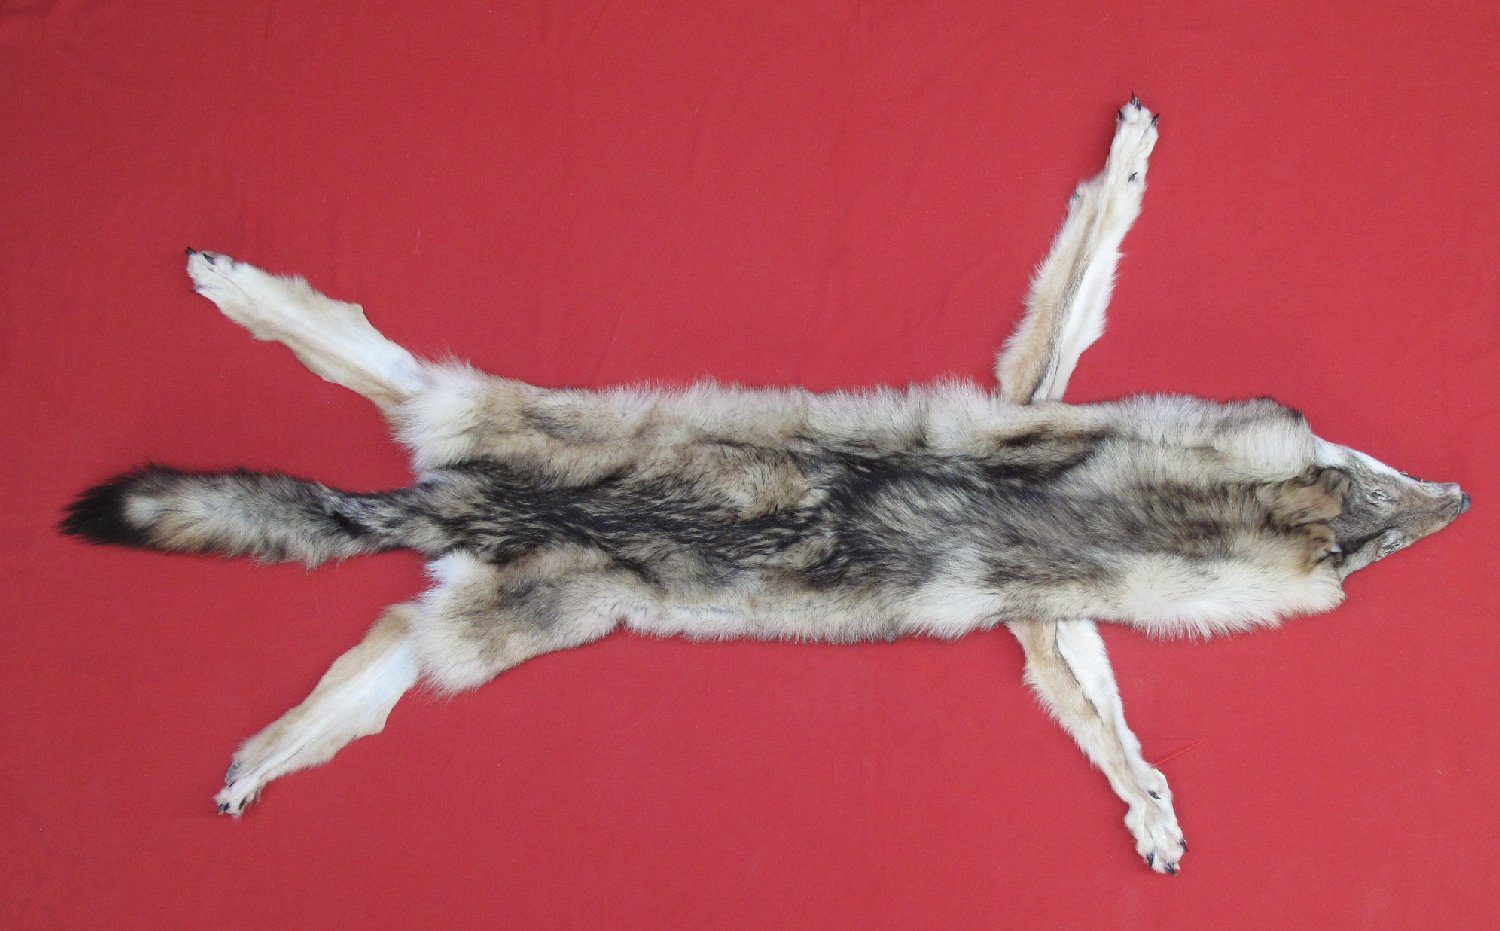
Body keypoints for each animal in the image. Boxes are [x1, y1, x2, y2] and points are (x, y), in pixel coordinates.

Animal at [61, 97, 1467, 874]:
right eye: (1365, 520)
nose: (1458, 500)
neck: (1092, 507)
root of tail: (453, 506)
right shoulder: (1036, 471)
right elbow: (1091, 252)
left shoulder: (1043, 592)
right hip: (485, 566)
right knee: (361, 401)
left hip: (466, 534)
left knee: (373, 507)